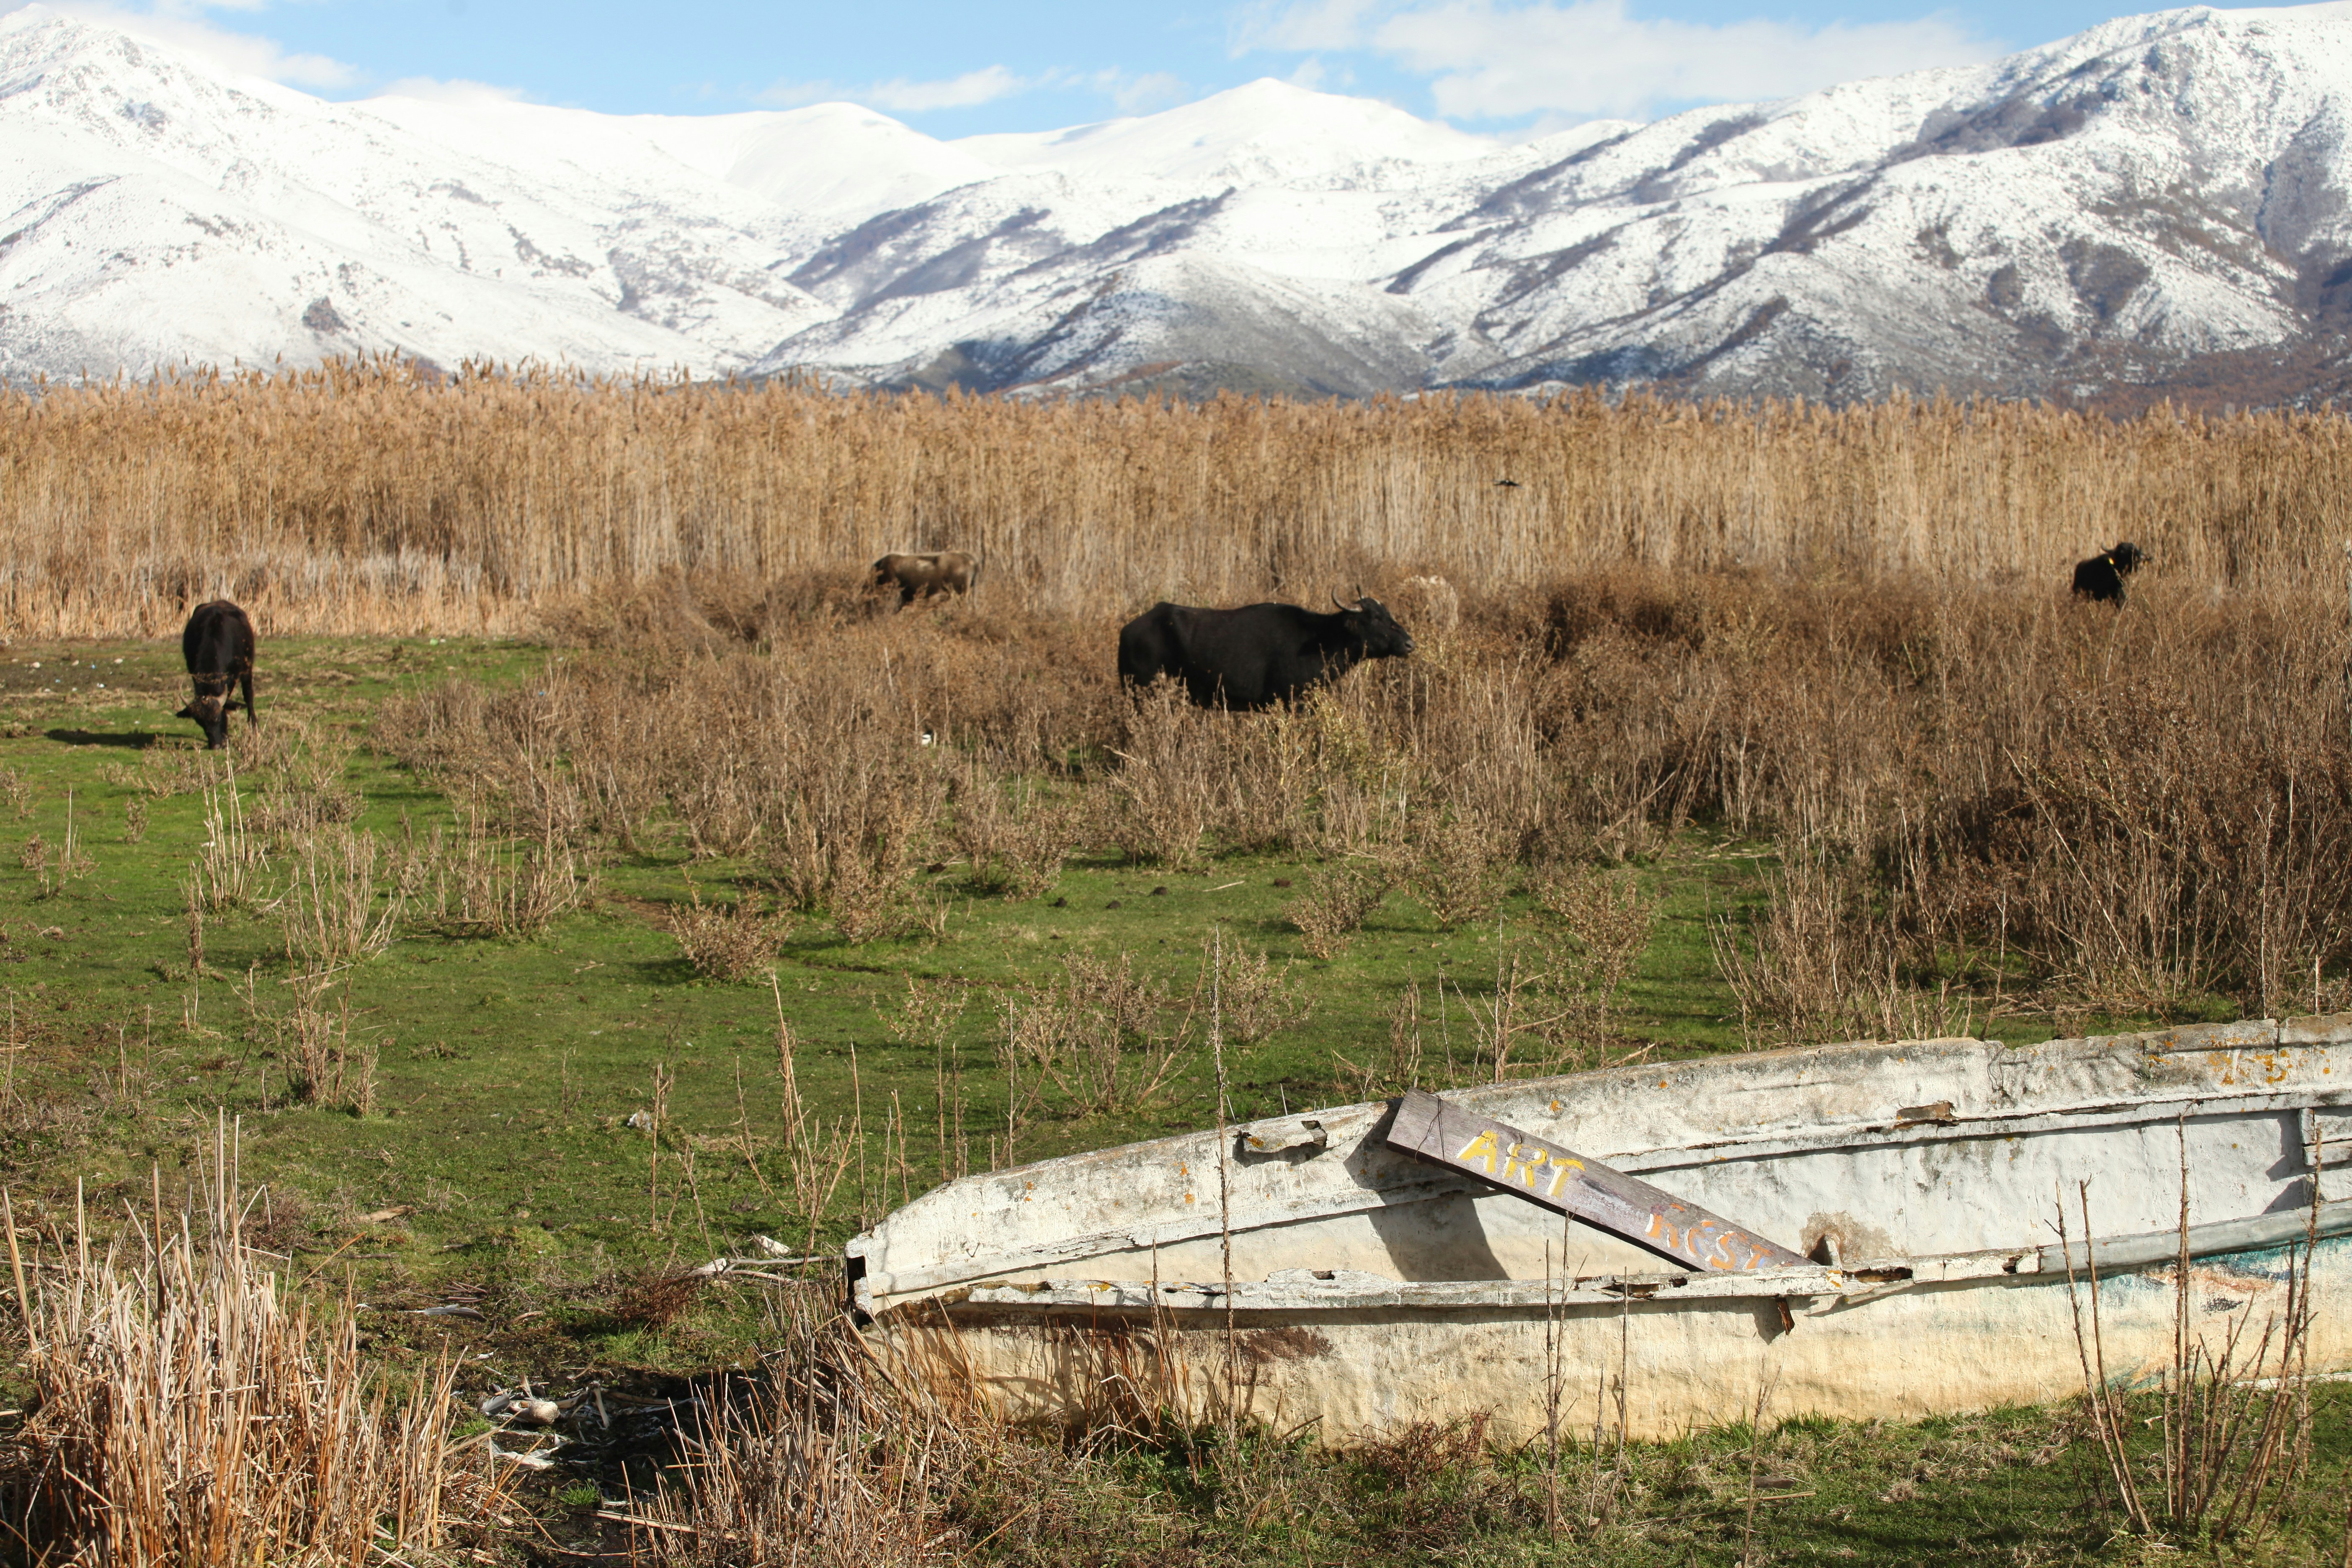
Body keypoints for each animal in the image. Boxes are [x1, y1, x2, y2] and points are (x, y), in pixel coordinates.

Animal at [177, 600, 256, 749]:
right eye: (200, 722)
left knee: (249, 695)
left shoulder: (232, 676)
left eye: (218, 718)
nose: (215, 745)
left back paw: (253, 725)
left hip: (247, 667)